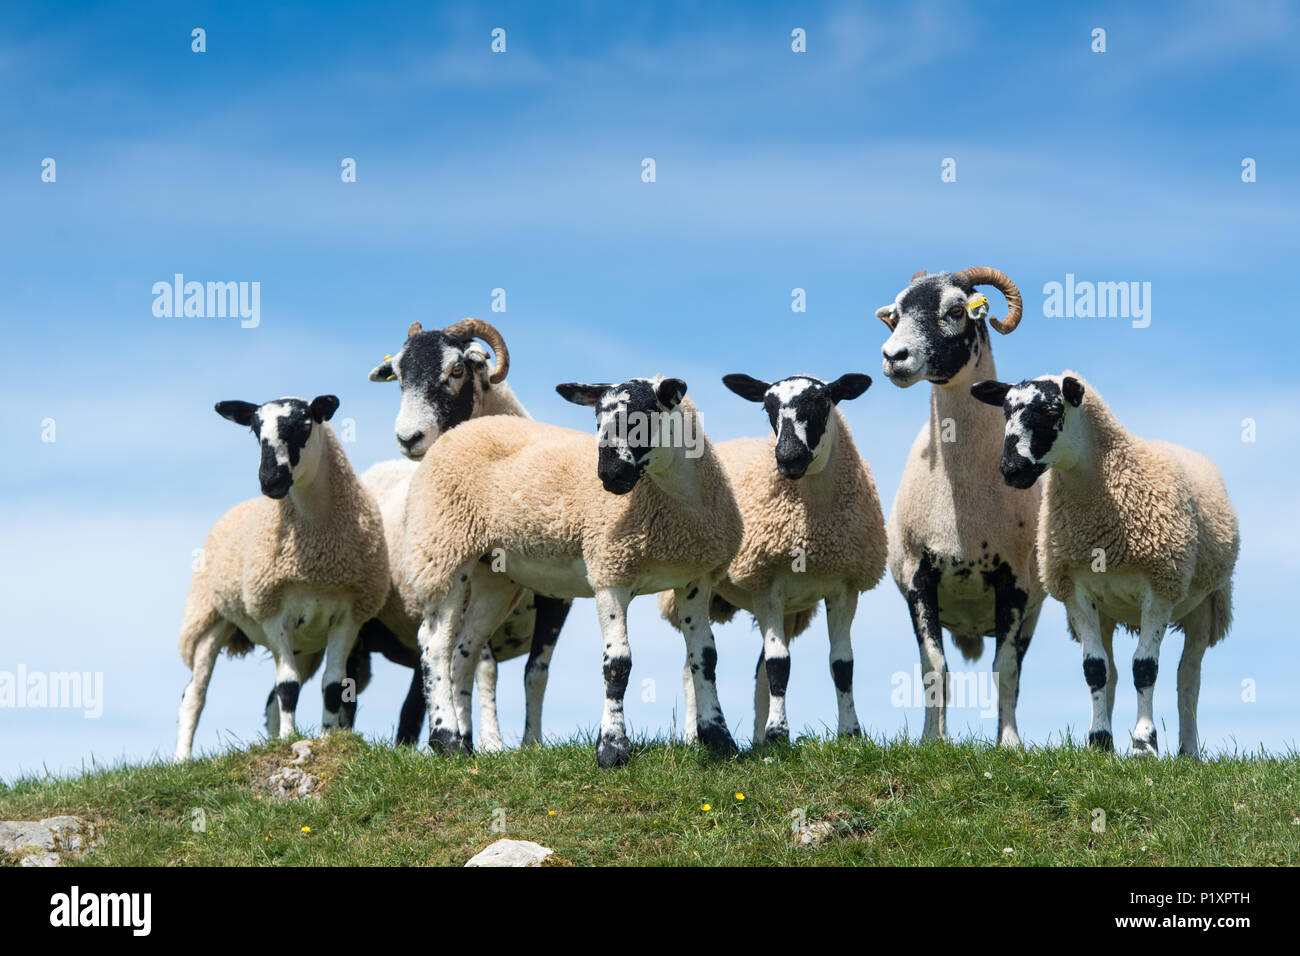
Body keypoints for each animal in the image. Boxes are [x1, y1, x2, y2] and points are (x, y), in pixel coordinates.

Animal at [175, 395, 389, 761]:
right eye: (254, 430)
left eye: (304, 425)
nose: (270, 480)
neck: (318, 556)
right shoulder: (272, 611)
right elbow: (287, 686)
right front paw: (291, 738)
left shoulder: (350, 614)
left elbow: (333, 686)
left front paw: (327, 737)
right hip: (208, 621)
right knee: (194, 696)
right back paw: (181, 760)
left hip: (305, 645)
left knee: (270, 700)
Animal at [401, 376, 743, 766]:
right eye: (596, 422)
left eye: (643, 417)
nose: (609, 475)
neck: (678, 504)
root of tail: (458, 430)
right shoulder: (609, 571)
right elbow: (618, 664)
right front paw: (612, 749)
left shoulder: (695, 579)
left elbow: (705, 658)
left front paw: (719, 739)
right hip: (443, 545)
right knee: (435, 646)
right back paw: (445, 738)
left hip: (494, 575)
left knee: (463, 651)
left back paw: (465, 745)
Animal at [660, 372, 887, 745]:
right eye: (767, 408)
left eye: (823, 402)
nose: (788, 457)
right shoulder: (766, 584)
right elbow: (779, 663)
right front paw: (779, 732)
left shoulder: (845, 588)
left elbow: (842, 665)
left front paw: (851, 734)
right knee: (691, 664)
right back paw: (694, 737)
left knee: (755, 669)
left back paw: (755, 739)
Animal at [875, 267, 1047, 746]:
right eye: (896, 314)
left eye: (954, 310)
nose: (893, 356)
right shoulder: (919, 578)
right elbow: (934, 668)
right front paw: (932, 741)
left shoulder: (1014, 580)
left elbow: (1006, 670)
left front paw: (1009, 743)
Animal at [970, 372, 1239, 757]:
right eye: (1005, 411)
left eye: (1051, 411)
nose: (1011, 470)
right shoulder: (1075, 591)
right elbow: (1095, 670)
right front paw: (1099, 743)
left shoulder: (1160, 587)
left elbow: (1145, 669)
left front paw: (1144, 745)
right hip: (1109, 612)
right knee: (1111, 670)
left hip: (1205, 605)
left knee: (1188, 677)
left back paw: (1188, 751)